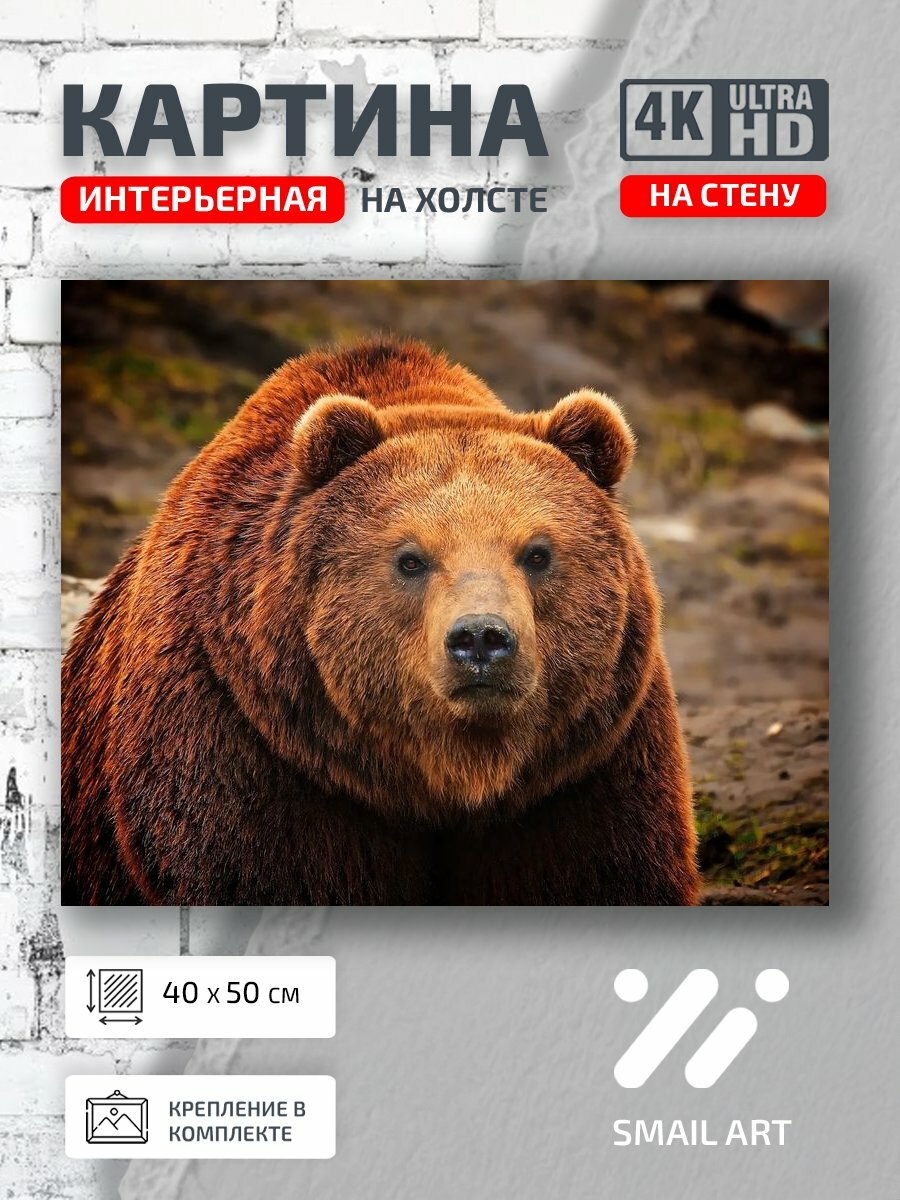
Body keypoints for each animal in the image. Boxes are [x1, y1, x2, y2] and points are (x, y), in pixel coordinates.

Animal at [62, 338, 699, 906]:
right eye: (410, 559)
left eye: (537, 553)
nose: (481, 639)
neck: (448, 775)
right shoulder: (245, 741)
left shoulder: (583, 766)